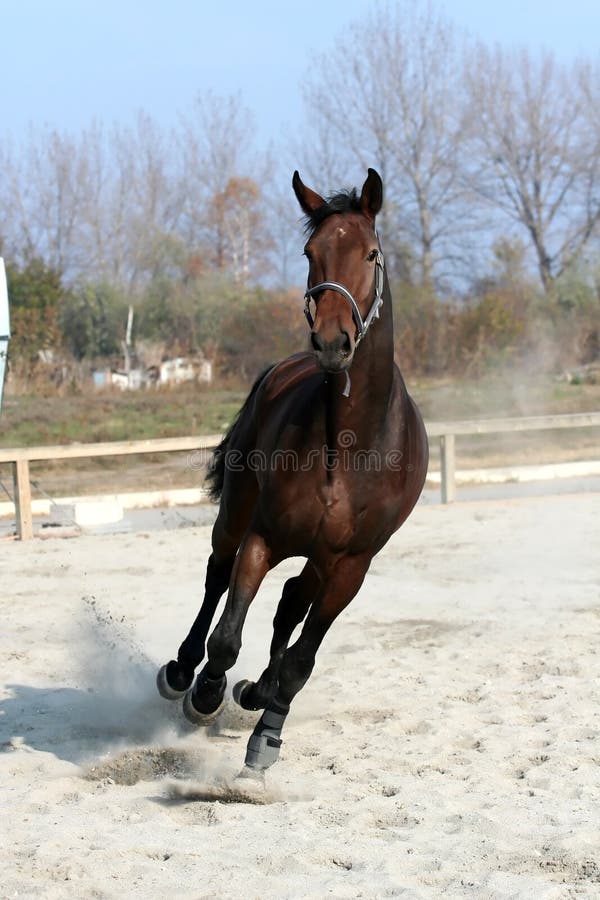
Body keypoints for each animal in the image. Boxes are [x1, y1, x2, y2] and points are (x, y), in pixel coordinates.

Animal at [157, 169, 429, 771]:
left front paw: (267, 733)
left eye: (372, 254)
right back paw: (185, 672)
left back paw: (259, 690)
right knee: (218, 574)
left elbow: (302, 657)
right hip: (238, 512)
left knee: (290, 604)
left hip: (320, 559)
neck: (347, 446)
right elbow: (228, 634)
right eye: (311, 252)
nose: (332, 341)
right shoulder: (265, 535)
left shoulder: (349, 566)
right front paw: (207, 691)